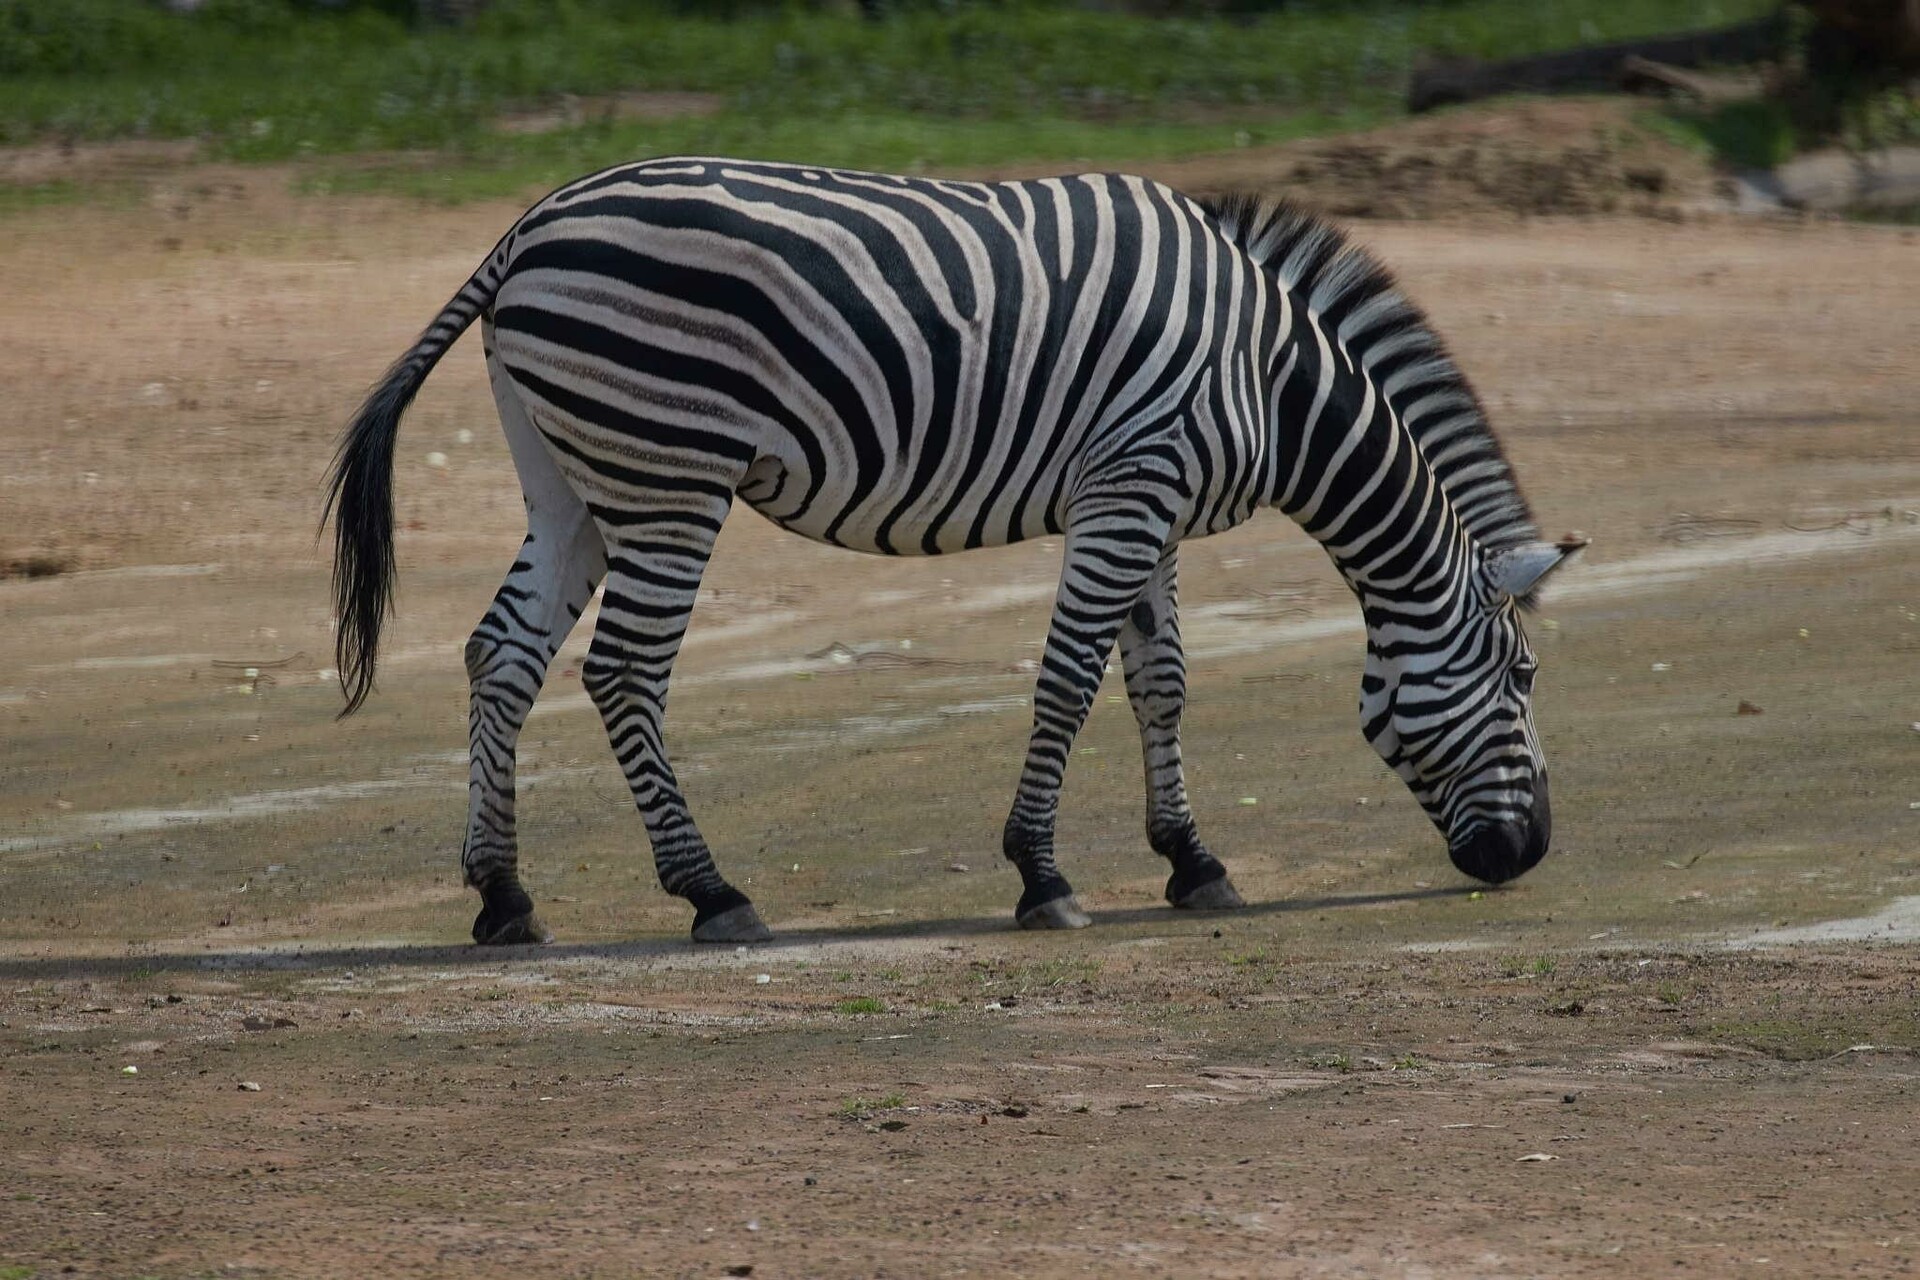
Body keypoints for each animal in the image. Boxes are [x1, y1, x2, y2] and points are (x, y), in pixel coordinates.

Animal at [325, 158, 1584, 946]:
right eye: (1522, 676)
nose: (1528, 853)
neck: (1268, 375)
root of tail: (528, 227)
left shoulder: (1150, 503)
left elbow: (1162, 682)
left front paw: (1193, 860)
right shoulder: (1130, 488)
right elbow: (1069, 679)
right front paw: (1042, 873)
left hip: (572, 476)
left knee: (501, 654)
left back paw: (503, 892)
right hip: (670, 471)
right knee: (623, 671)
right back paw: (711, 890)